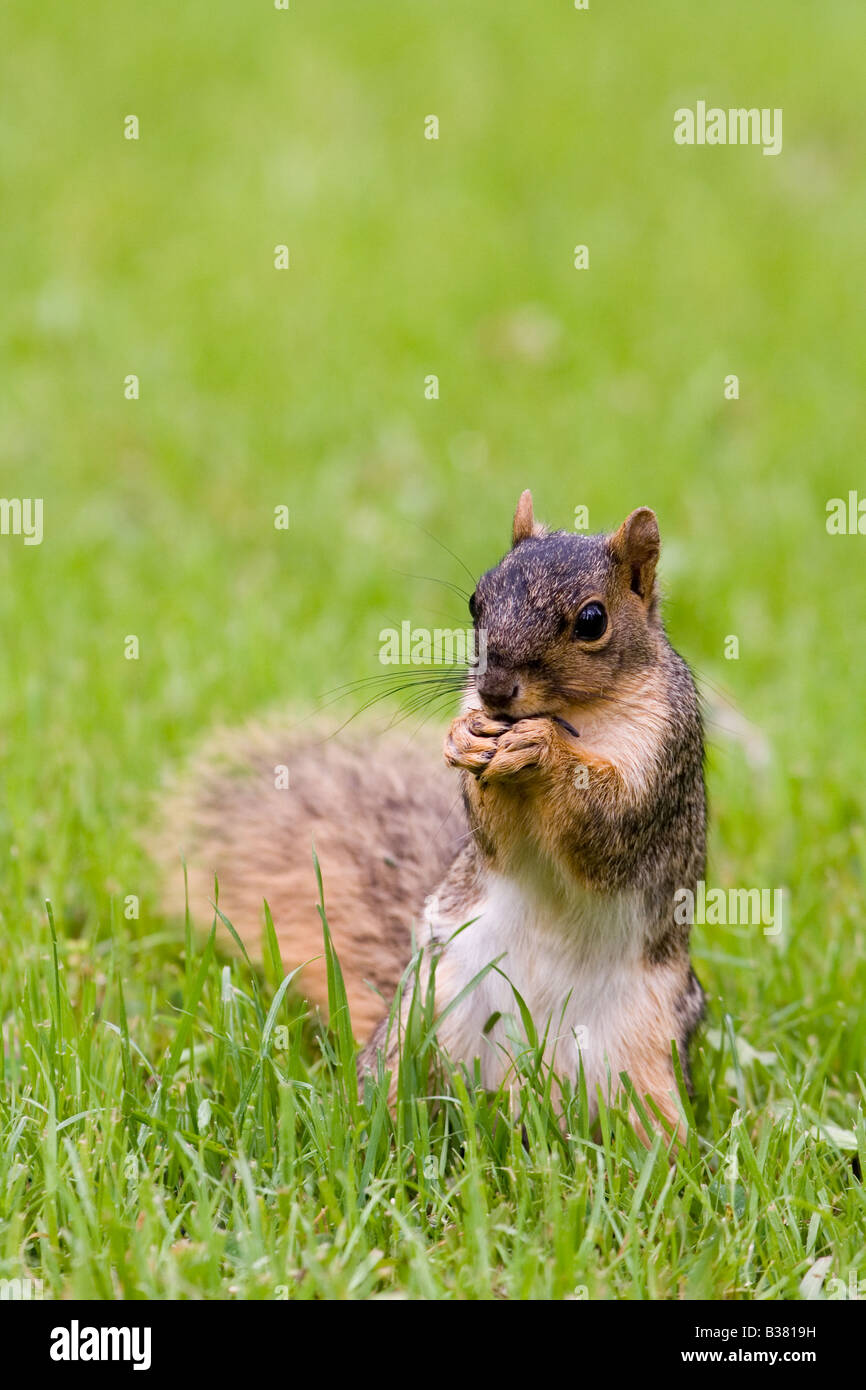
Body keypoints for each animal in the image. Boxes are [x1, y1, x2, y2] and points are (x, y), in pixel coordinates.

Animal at [157, 491, 706, 1139]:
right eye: (476, 600)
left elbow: (609, 831)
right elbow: (495, 836)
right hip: (423, 1019)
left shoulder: (663, 766)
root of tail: (528, 1099)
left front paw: (545, 749)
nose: (494, 690)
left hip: (647, 1064)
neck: (578, 714)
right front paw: (466, 738)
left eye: (592, 620)